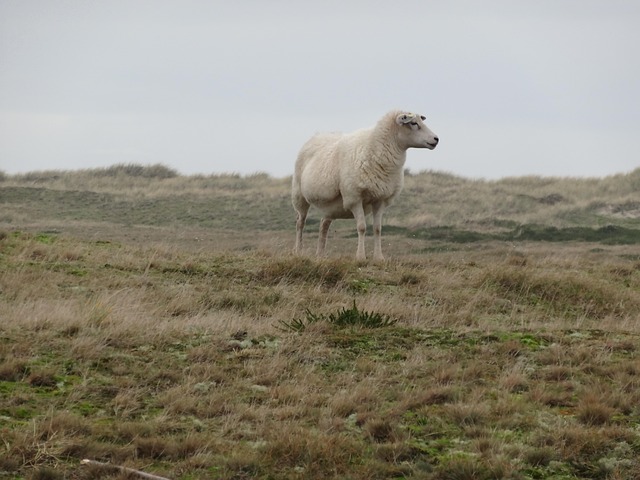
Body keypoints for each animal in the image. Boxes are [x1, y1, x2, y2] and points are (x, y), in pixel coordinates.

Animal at [292, 110, 439, 260]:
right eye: (413, 123)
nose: (436, 139)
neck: (373, 148)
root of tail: (318, 135)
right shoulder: (354, 197)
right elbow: (362, 227)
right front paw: (360, 257)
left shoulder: (380, 199)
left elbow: (377, 229)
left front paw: (379, 257)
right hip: (299, 195)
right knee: (300, 222)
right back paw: (298, 251)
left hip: (331, 206)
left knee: (323, 224)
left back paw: (320, 255)